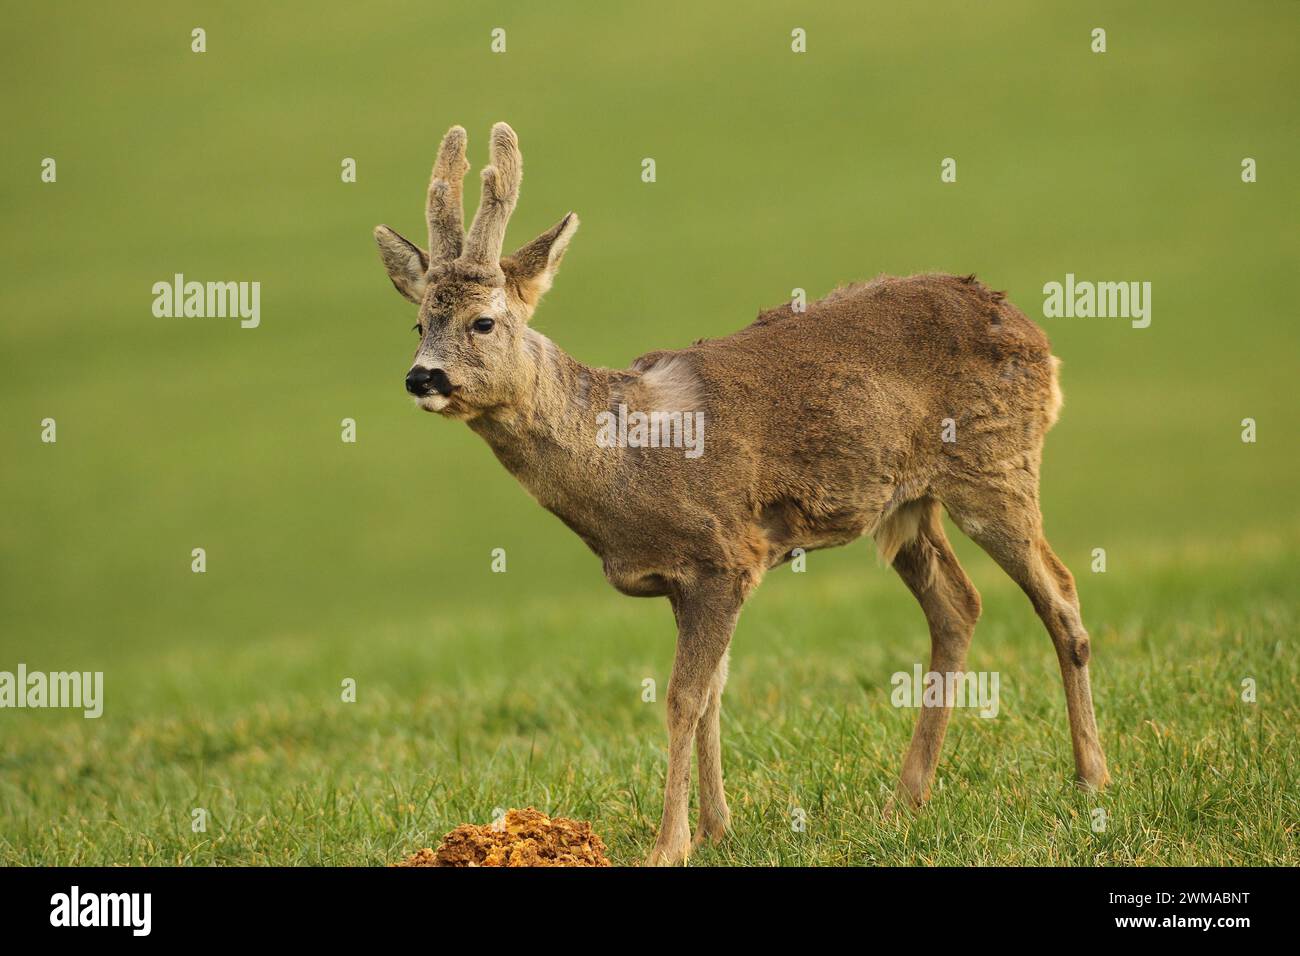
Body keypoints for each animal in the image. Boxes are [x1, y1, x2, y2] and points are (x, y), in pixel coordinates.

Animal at [373, 123, 1111, 866]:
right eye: (419, 324)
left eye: (484, 322)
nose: (422, 378)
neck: (621, 457)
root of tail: (1035, 335)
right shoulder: (687, 578)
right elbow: (715, 693)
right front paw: (716, 829)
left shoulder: (722, 557)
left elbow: (683, 698)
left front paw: (668, 845)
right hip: (908, 505)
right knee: (959, 606)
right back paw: (905, 800)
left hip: (997, 465)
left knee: (1060, 592)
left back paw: (1091, 780)